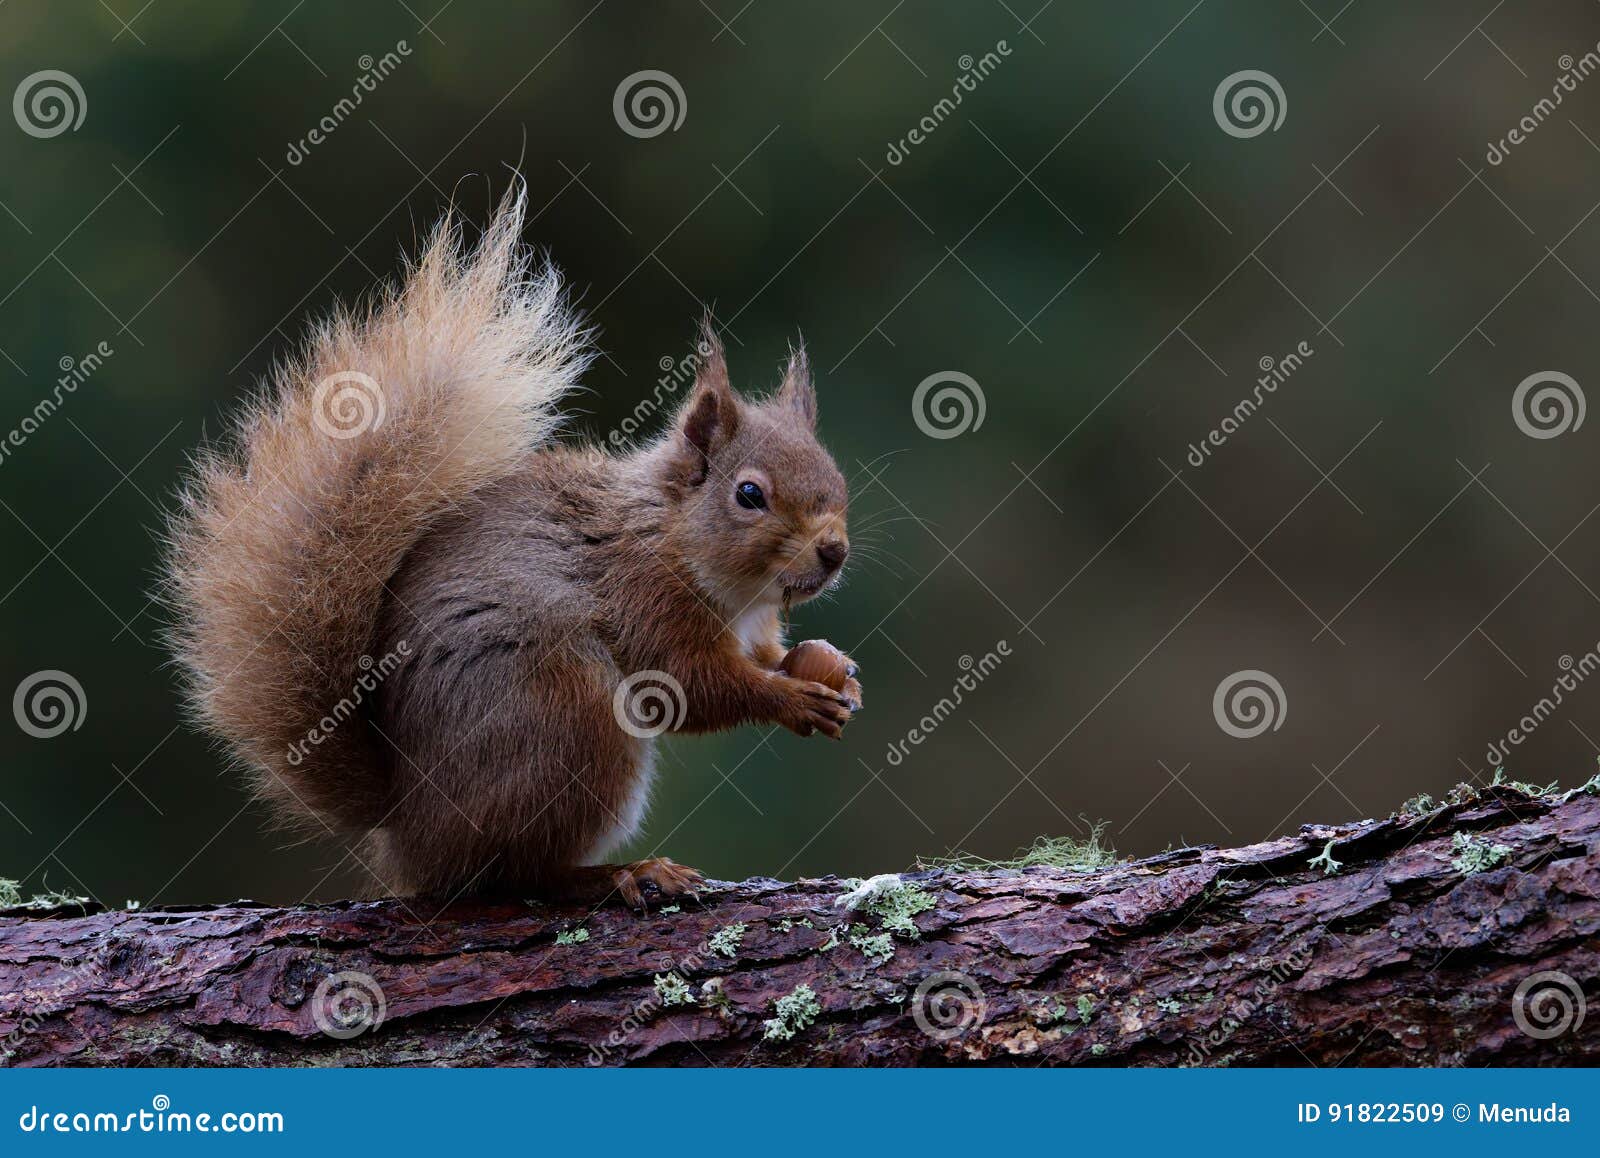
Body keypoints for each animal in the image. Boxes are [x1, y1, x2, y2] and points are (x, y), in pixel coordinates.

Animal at [164, 187, 861, 907]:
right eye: (749, 494)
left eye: (837, 478)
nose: (834, 551)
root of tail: (406, 825)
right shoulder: (645, 597)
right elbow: (694, 685)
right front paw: (792, 699)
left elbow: (767, 658)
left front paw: (831, 667)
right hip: (569, 722)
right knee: (518, 871)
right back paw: (621, 873)